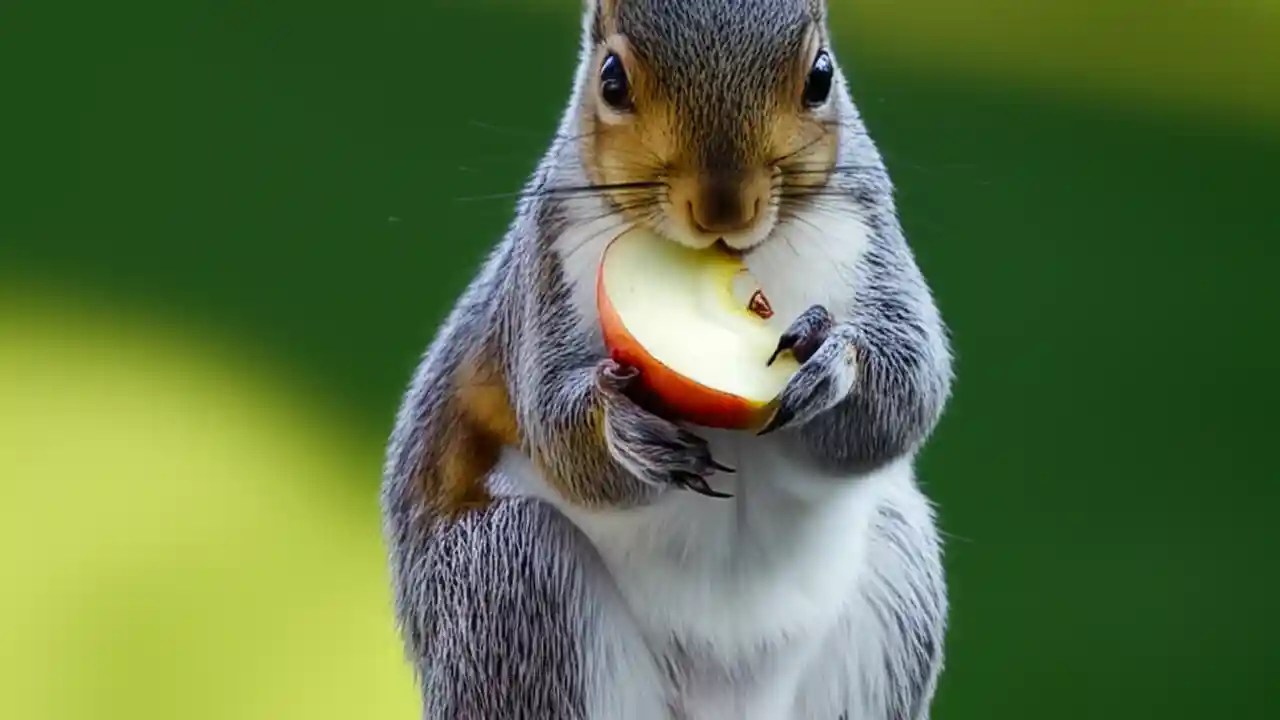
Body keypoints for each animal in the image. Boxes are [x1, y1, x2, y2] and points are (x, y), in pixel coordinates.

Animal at [381, 0, 954, 718]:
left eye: (820, 77)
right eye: (611, 80)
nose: (723, 207)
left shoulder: (872, 234)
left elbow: (908, 394)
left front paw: (834, 360)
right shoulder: (542, 279)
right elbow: (555, 430)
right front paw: (622, 430)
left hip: (894, 591)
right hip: (513, 588)